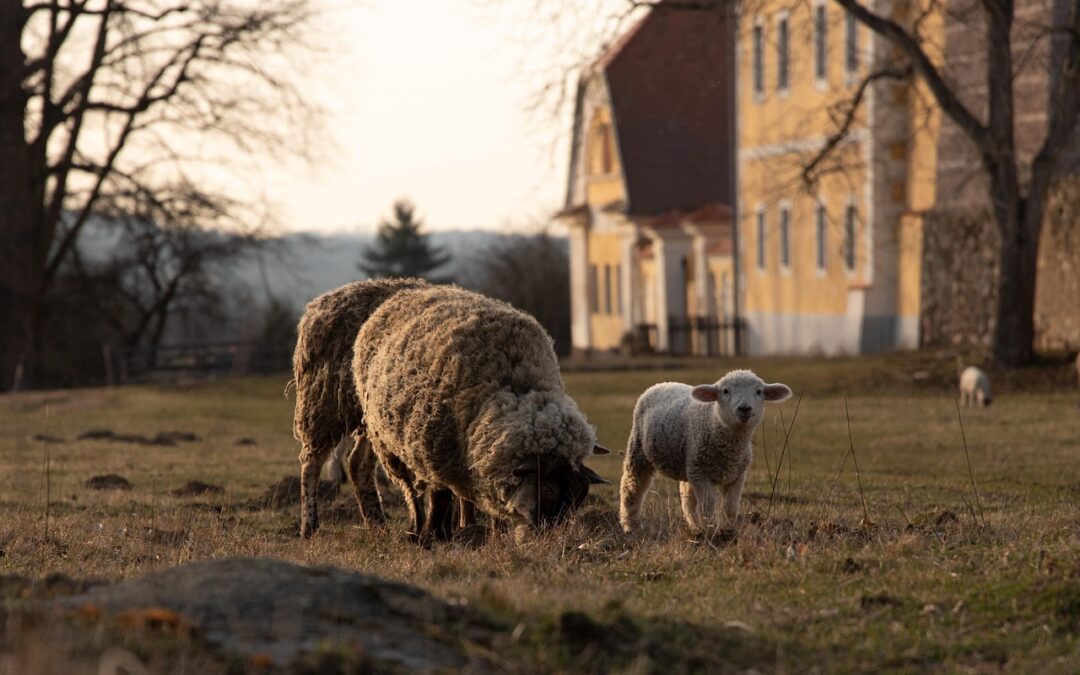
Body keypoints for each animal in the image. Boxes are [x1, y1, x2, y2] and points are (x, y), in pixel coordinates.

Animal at [298, 278, 432, 537]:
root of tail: (318, 304)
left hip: (371, 420)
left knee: (358, 464)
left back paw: (378, 524)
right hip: (325, 407)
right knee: (312, 463)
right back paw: (309, 526)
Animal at [352, 285, 609, 542]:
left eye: (580, 497)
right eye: (547, 489)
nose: (551, 535)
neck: (513, 390)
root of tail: (409, 291)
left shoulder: (482, 460)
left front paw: (497, 535)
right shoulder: (434, 454)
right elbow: (439, 497)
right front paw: (430, 536)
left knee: (460, 494)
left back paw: (463, 527)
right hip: (390, 444)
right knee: (411, 490)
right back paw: (417, 529)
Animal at [617, 369, 794, 531]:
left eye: (758, 391)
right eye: (725, 391)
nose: (744, 408)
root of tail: (662, 383)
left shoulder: (737, 476)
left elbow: (730, 507)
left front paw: (729, 529)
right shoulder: (702, 475)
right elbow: (708, 507)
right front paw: (712, 530)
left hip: (689, 464)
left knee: (687, 497)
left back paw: (695, 527)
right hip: (639, 449)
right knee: (632, 487)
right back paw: (630, 525)